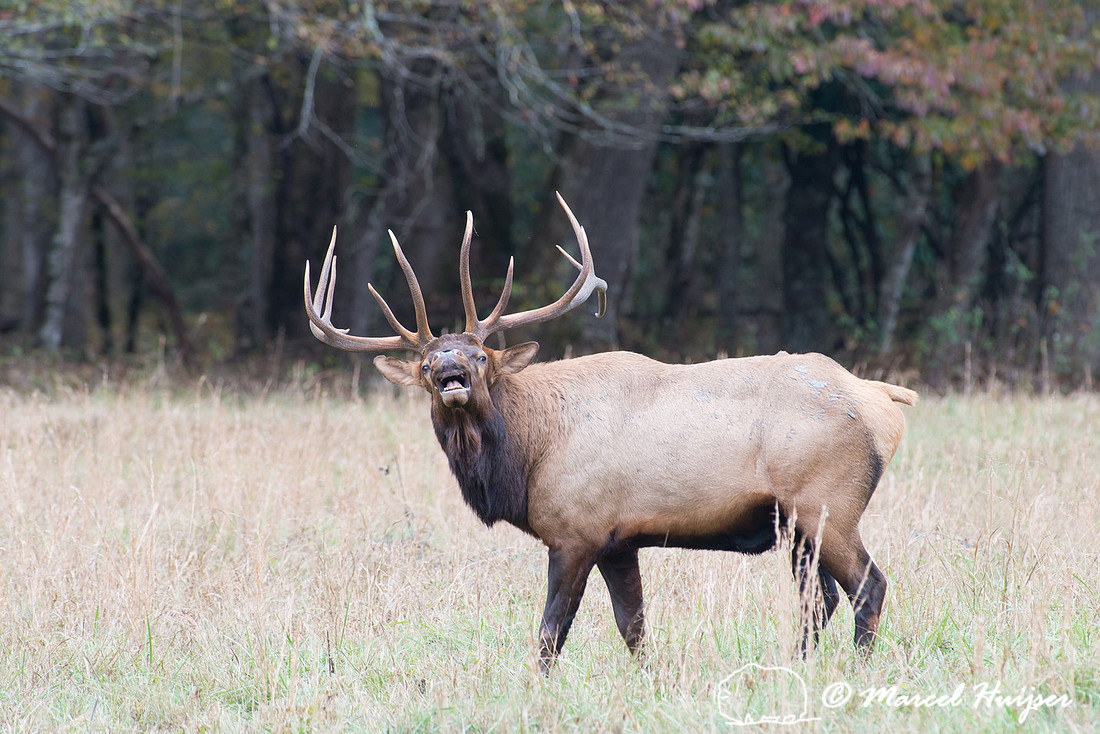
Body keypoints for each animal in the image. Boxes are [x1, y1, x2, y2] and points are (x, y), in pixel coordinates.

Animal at [304, 193, 917, 670]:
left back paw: (855, 670)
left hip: (825, 503)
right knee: (820, 601)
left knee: (868, 586)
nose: (450, 369)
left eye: (480, 356)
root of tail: (885, 402)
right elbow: (634, 628)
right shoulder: (620, 542)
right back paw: (795, 665)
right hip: (794, 524)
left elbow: (551, 633)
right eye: (428, 364)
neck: (526, 457)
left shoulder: (576, 529)